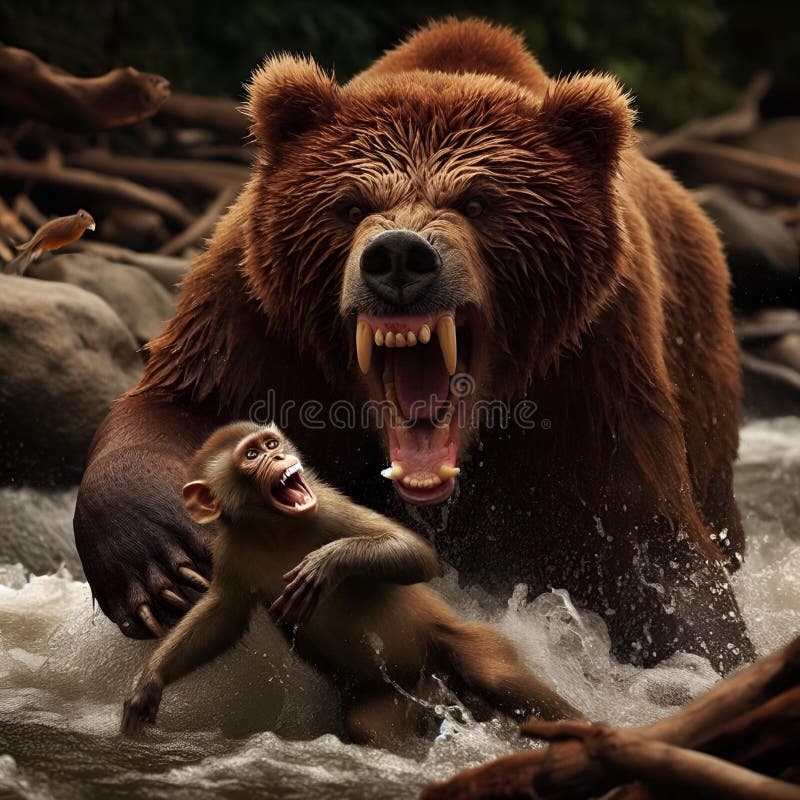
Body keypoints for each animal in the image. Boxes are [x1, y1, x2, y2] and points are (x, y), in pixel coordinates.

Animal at [74, 18, 754, 674]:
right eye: (351, 205)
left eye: (477, 201)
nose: (399, 255)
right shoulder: (257, 318)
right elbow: (178, 404)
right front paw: (160, 568)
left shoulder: (594, 365)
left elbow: (649, 553)